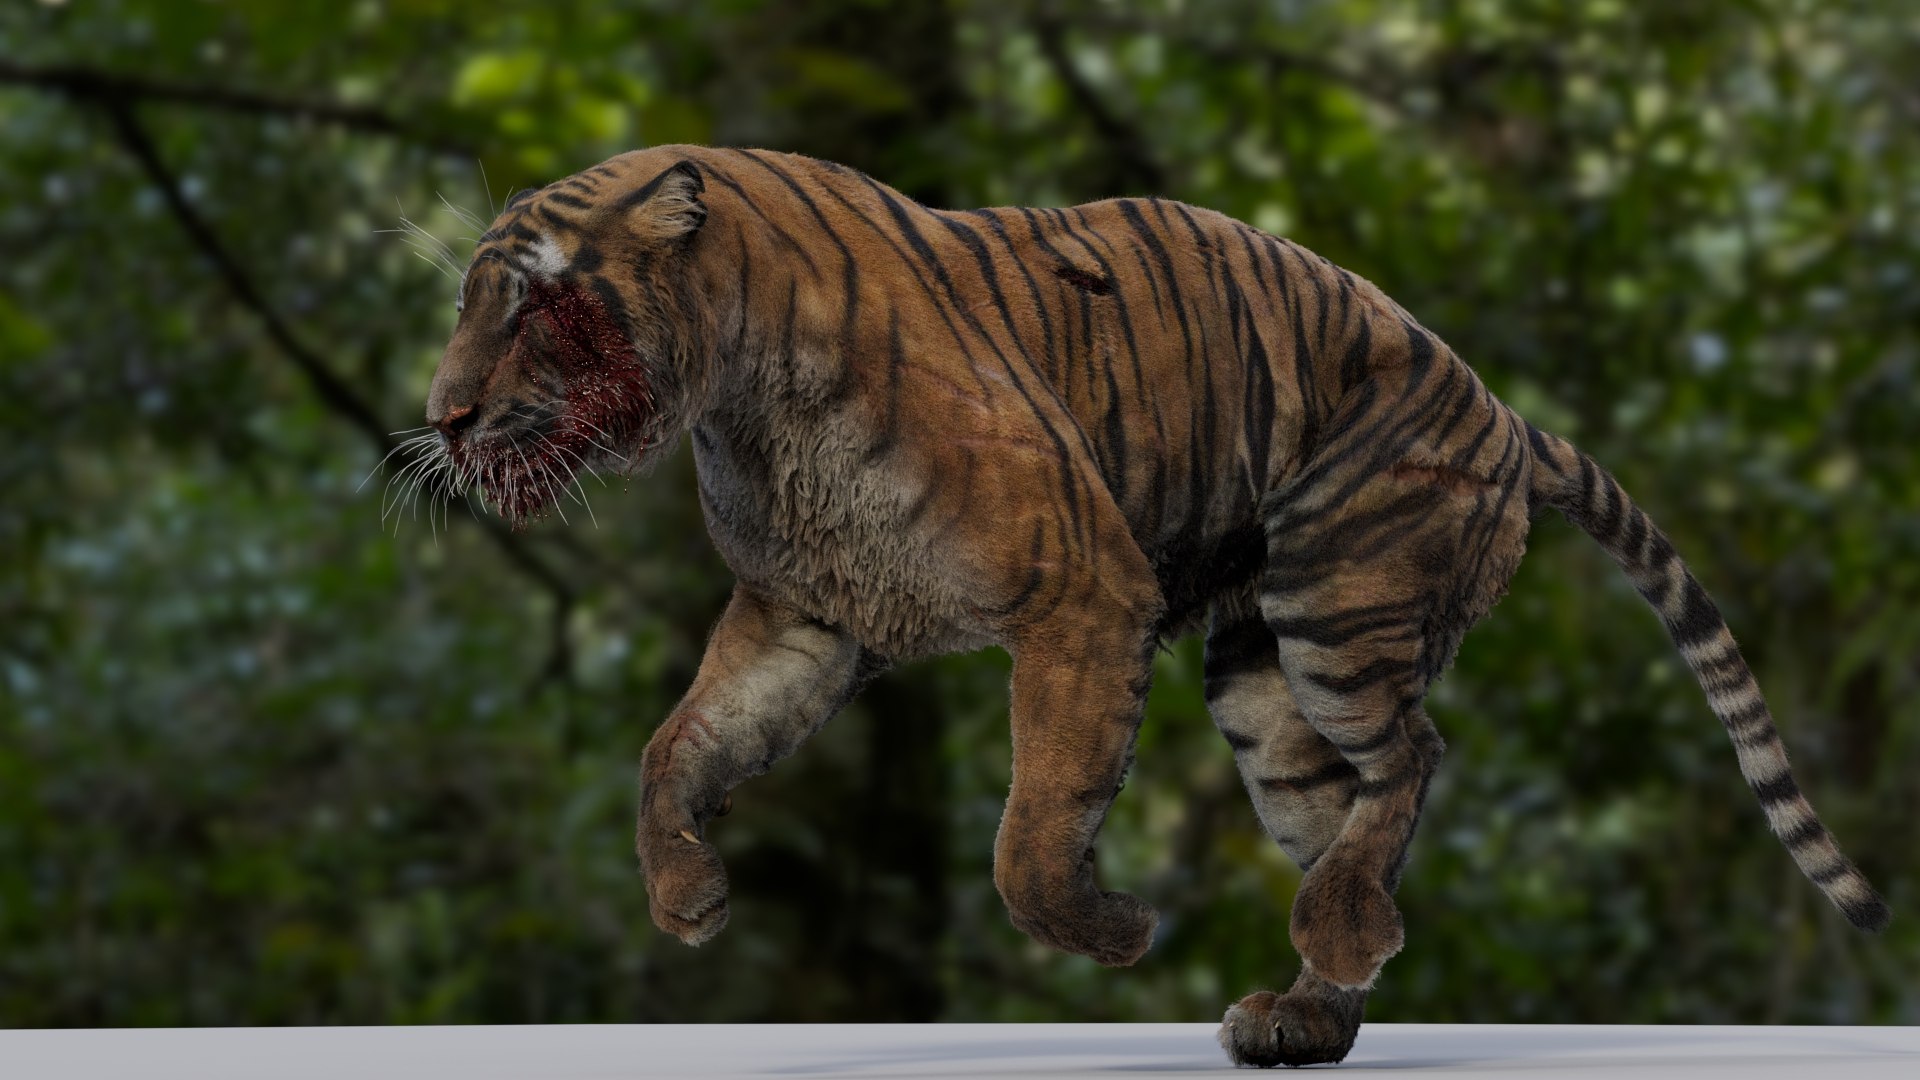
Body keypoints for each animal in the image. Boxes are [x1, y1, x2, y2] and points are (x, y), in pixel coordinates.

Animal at [420, 145, 1888, 1067]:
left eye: (536, 306)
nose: (441, 418)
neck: (736, 397)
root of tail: (1505, 414)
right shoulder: (800, 619)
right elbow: (675, 747)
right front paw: (686, 901)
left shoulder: (1080, 591)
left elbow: (1030, 831)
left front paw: (1116, 932)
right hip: (1263, 685)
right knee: (1349, 808)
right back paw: (1311, 1012)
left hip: (1335, 600)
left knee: (1415, 752)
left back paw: (1337, 939)